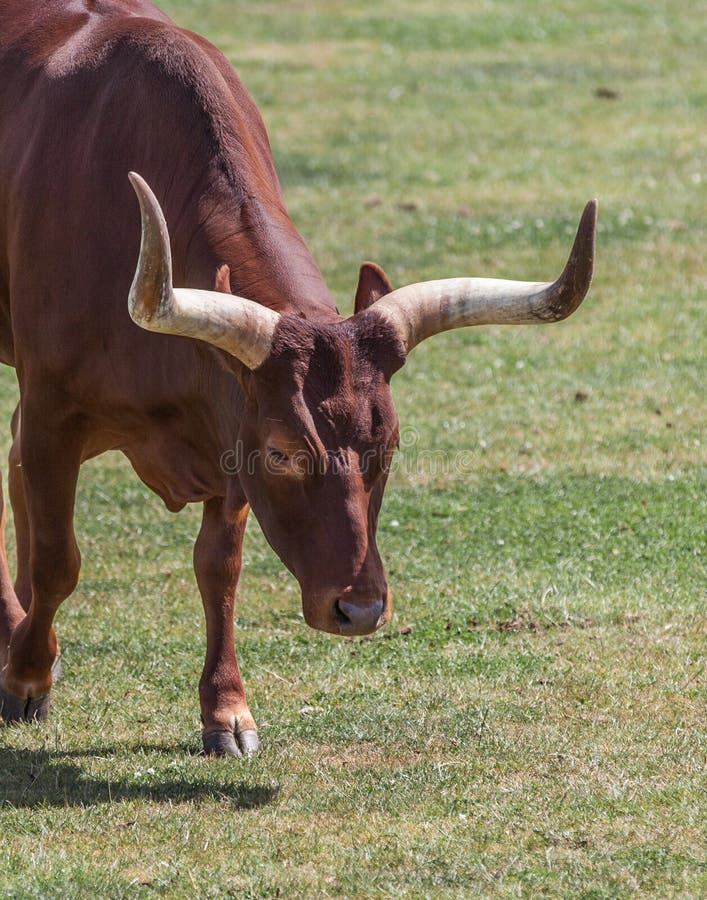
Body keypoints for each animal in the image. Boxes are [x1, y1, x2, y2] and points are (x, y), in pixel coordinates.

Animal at [0, 0, 595, 756]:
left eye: (388, 446)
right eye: (285, 451)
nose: (361, 608)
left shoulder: (227, 439)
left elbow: (217, 568)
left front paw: (226, 709)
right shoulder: (54, 411)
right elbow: (58, 559)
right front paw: (26, 677)